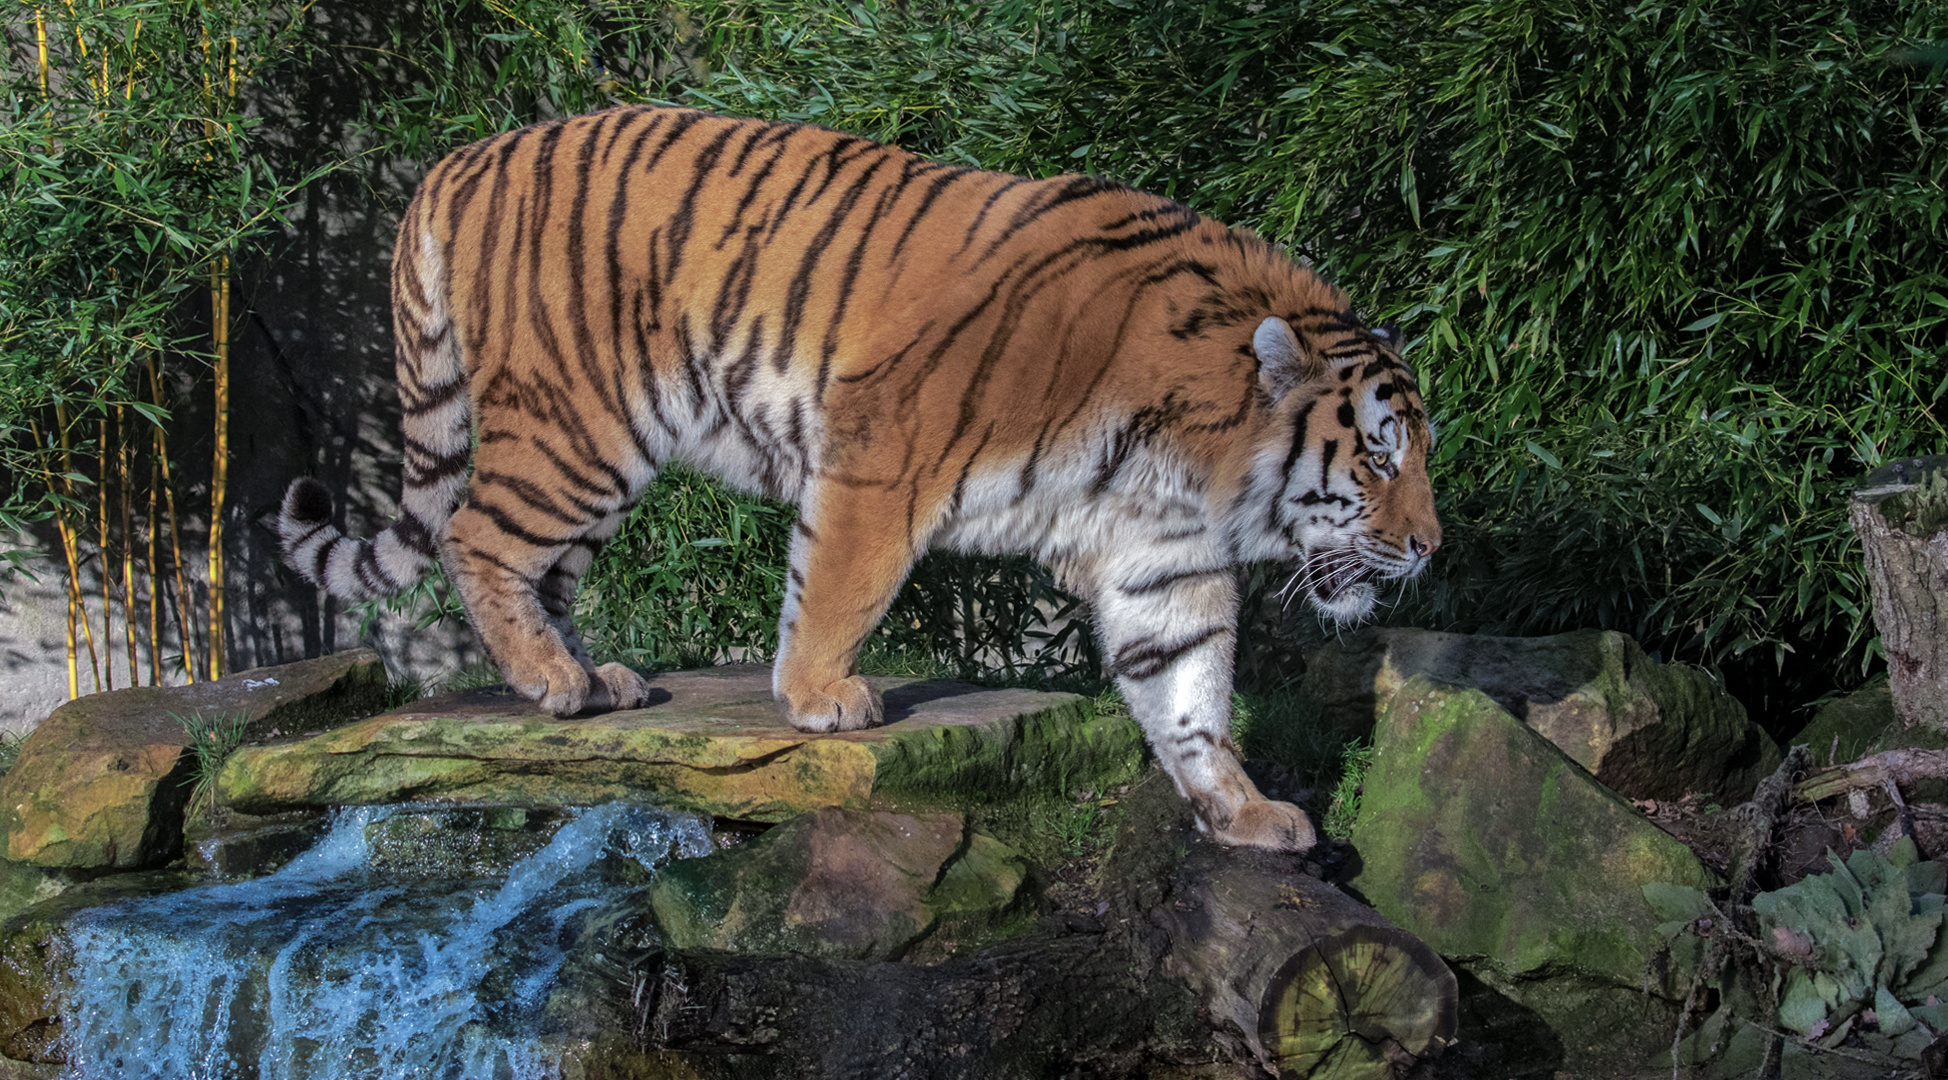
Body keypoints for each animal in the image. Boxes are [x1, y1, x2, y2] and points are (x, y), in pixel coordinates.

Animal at [275, 105, 1440, 853]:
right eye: (1381, 454)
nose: (1430, 546)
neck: (1194, 451)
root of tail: (460, 156)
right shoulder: (885, 452)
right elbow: (842, 587)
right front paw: (818, 699)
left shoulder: (1163, 558)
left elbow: (1190, 689)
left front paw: (1241, 812)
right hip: (577, 425)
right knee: (475, 537)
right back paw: (549, 683)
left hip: (604, 455)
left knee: (542, 569)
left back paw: (591, 680)